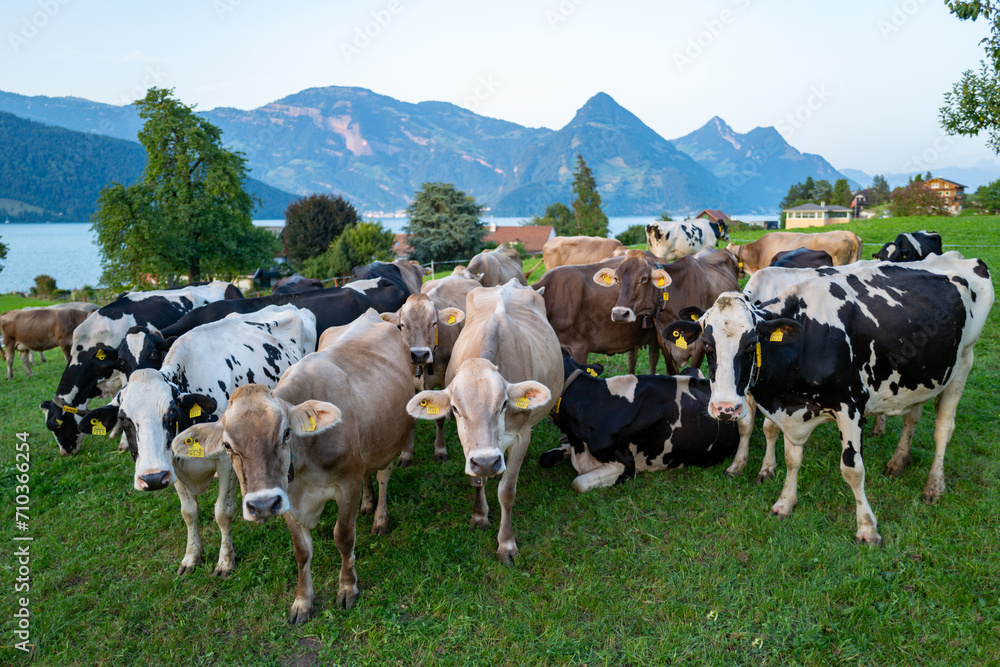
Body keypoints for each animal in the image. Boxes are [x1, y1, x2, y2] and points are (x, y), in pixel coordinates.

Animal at [79, 305, 318, 577]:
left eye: (172, 412)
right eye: (123, 418)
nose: (152, 478)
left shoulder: (226, 460)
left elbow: (222, 512)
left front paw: (225, 560)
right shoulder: (172, 464)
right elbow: (189, 512)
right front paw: (192, 556)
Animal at [171, 309, 415, 621]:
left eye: (286, 433)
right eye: (227, 445)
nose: (262, 505)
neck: (306, 465)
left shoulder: (347, 484)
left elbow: (343, 537)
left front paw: (347, 588)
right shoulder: (285, 497)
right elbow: (302, 551)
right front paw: (302, 601)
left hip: (391, 438)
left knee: (383, 476)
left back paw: (380, 517)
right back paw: (369, 503)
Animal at [379, 274, 479, 463]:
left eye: (434, 323)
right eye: (403, 325)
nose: (419, 354)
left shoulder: (442, 379)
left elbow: (439, 417)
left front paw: (440, 450)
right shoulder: (409, 384)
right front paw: (406, 453)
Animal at [408, 280, 563, 563]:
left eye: (503, 404)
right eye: (455, 409)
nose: (489, 462)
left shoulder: (522, 435)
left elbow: (507, 491)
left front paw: (506, 543)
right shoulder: (469, 447)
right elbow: (477, 480)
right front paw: (479, 515)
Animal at [661, 252, 994, 545]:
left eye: (752, 342)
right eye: (707, 344)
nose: (725, 408)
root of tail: (959, 257)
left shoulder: (851, 405)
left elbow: (852, 469)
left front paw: (867, 528)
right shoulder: (787, 408)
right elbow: (789, 456)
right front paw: (784, 501)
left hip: (964, 361)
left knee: (943, 429)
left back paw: (934, 485)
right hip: (921, 374)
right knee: (912, 416)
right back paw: (899, 461)